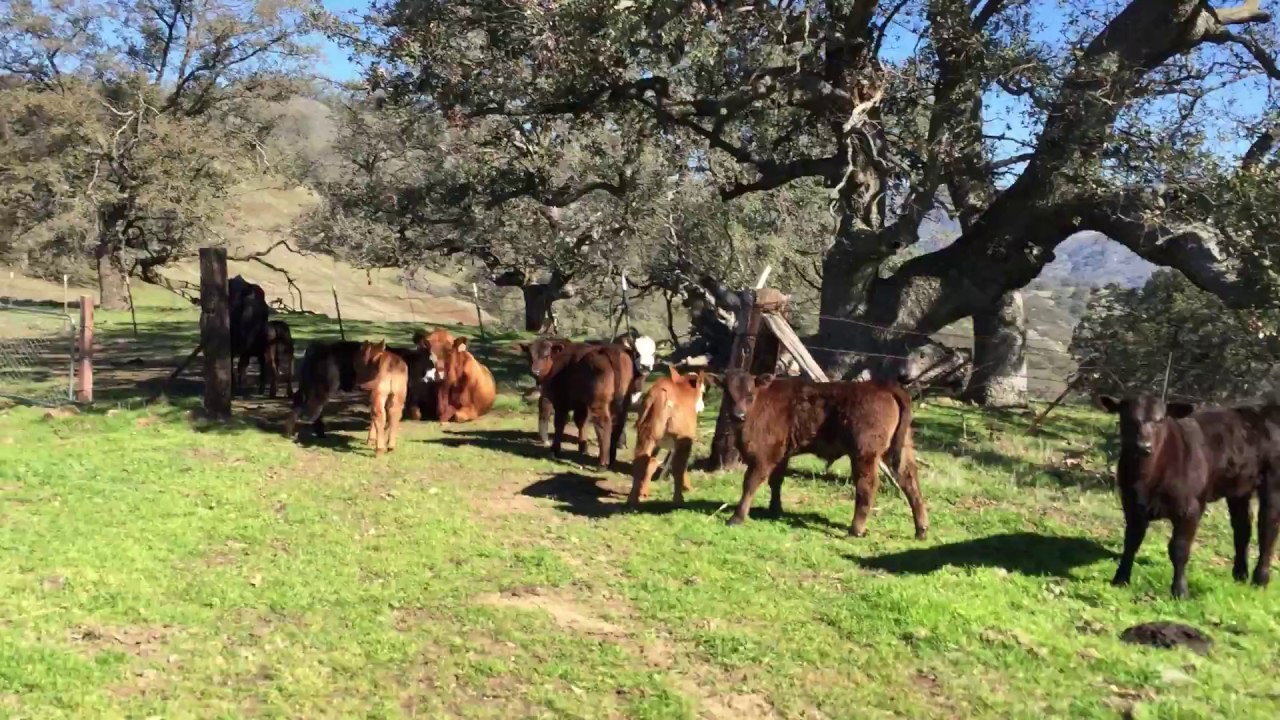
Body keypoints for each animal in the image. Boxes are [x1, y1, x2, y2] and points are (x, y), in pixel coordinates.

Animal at [626, 366, 709, 507]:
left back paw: (633, 499)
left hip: (647, 436)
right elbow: (680, 466)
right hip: (680, 439)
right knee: (678, 467)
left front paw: (644, 492)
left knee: (640, 461)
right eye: (703, 392)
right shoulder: (683, 441)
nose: (703, 406)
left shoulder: (658, 445)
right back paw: (678, 500)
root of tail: (660, 393)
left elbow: (651, 463)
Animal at [722, 370, 929, 539]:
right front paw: (774, 510)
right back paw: (921, 530)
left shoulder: (764, 455)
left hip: (864, 454)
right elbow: (776, 482)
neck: (762, 399)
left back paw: (856, 530)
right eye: (727, 393)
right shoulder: (782, 455)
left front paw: (736, 518)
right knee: (909, 481)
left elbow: (750, 483)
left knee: (867, 485)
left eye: (750, 395)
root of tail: (881, 385)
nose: (737, 415)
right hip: (899, 450)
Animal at [1098, 394, 1280, 598]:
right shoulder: (1131, 505)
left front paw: (1180, 590)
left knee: (1268, 528)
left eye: (1160, 420)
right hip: (1238, 487)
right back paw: (1240, 575)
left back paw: (1260, 579)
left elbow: (1179, 548)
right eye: (1126, 418)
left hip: (1273, 484)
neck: (1146, 480)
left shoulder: (1190, 508)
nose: (1143, 447)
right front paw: (1120, 579)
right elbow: (1131, 542)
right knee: (1242, 528)